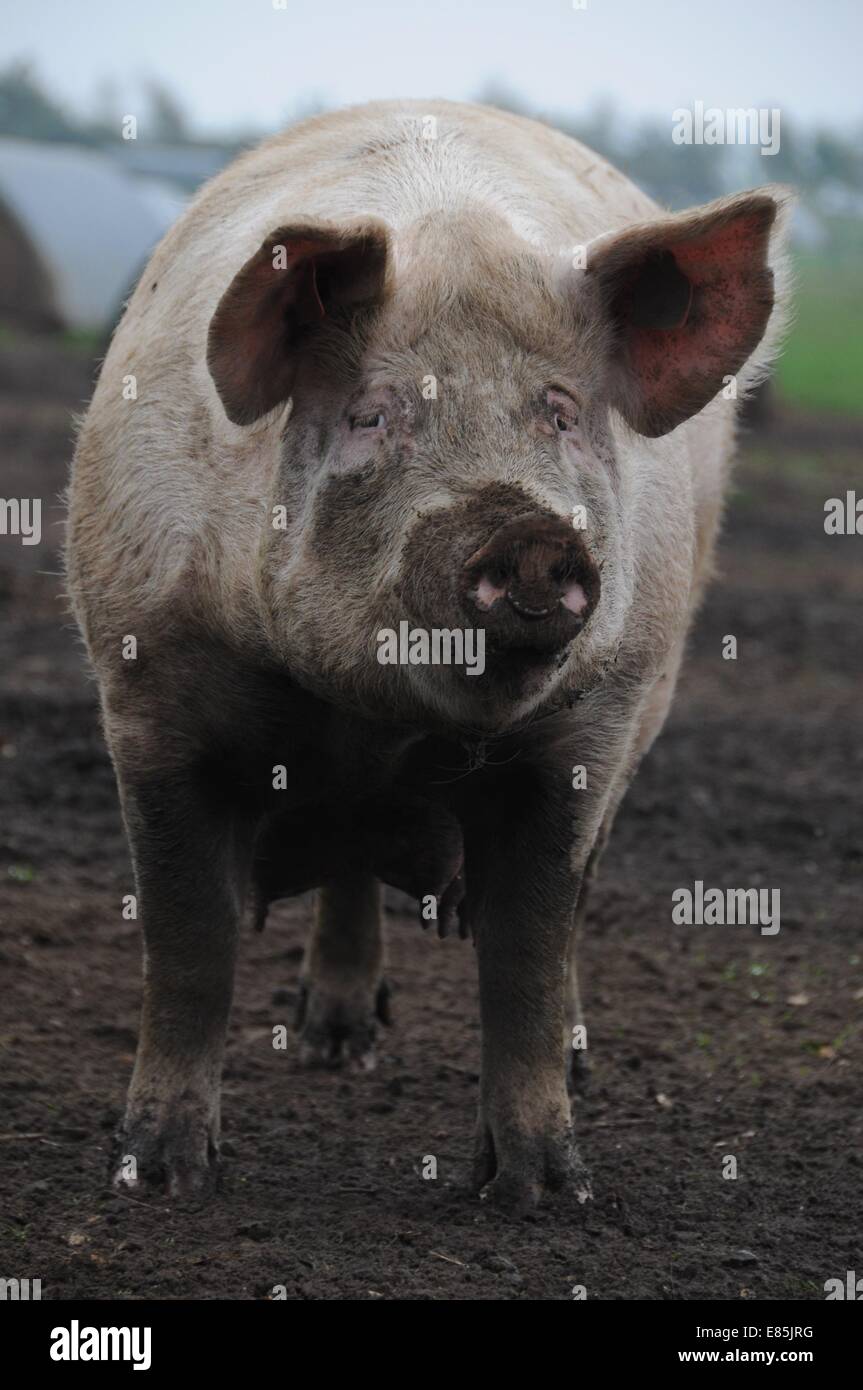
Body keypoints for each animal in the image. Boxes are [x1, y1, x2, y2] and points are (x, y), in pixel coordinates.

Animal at [66, 99, 790, 1210]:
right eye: (373, 412)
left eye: (559, 411)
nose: (527, 534)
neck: (372, 722)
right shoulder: (146, 688)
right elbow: (188, 941)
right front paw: (157, 1178)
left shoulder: (589, 728)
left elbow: (527, 946)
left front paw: (545, 1195)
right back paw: (332, 1045)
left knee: (566, 905)